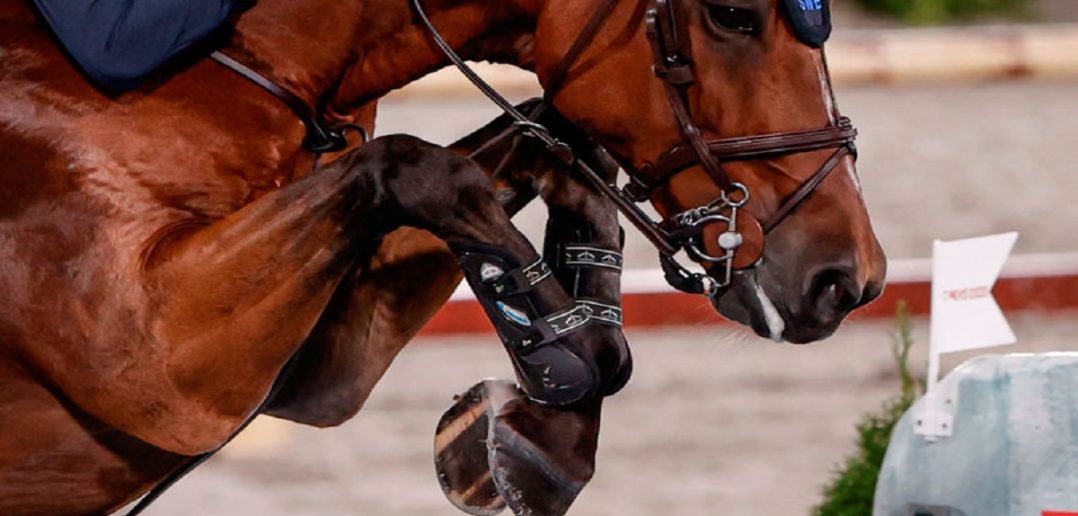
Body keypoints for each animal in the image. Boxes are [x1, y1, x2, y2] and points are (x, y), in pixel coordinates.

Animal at [0, 0, 886, 512]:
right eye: (733, 15)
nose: (847, 278)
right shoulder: (157, 358)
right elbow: (418, 164)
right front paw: (552, 375)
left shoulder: (317, 367)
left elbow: (539, 137)